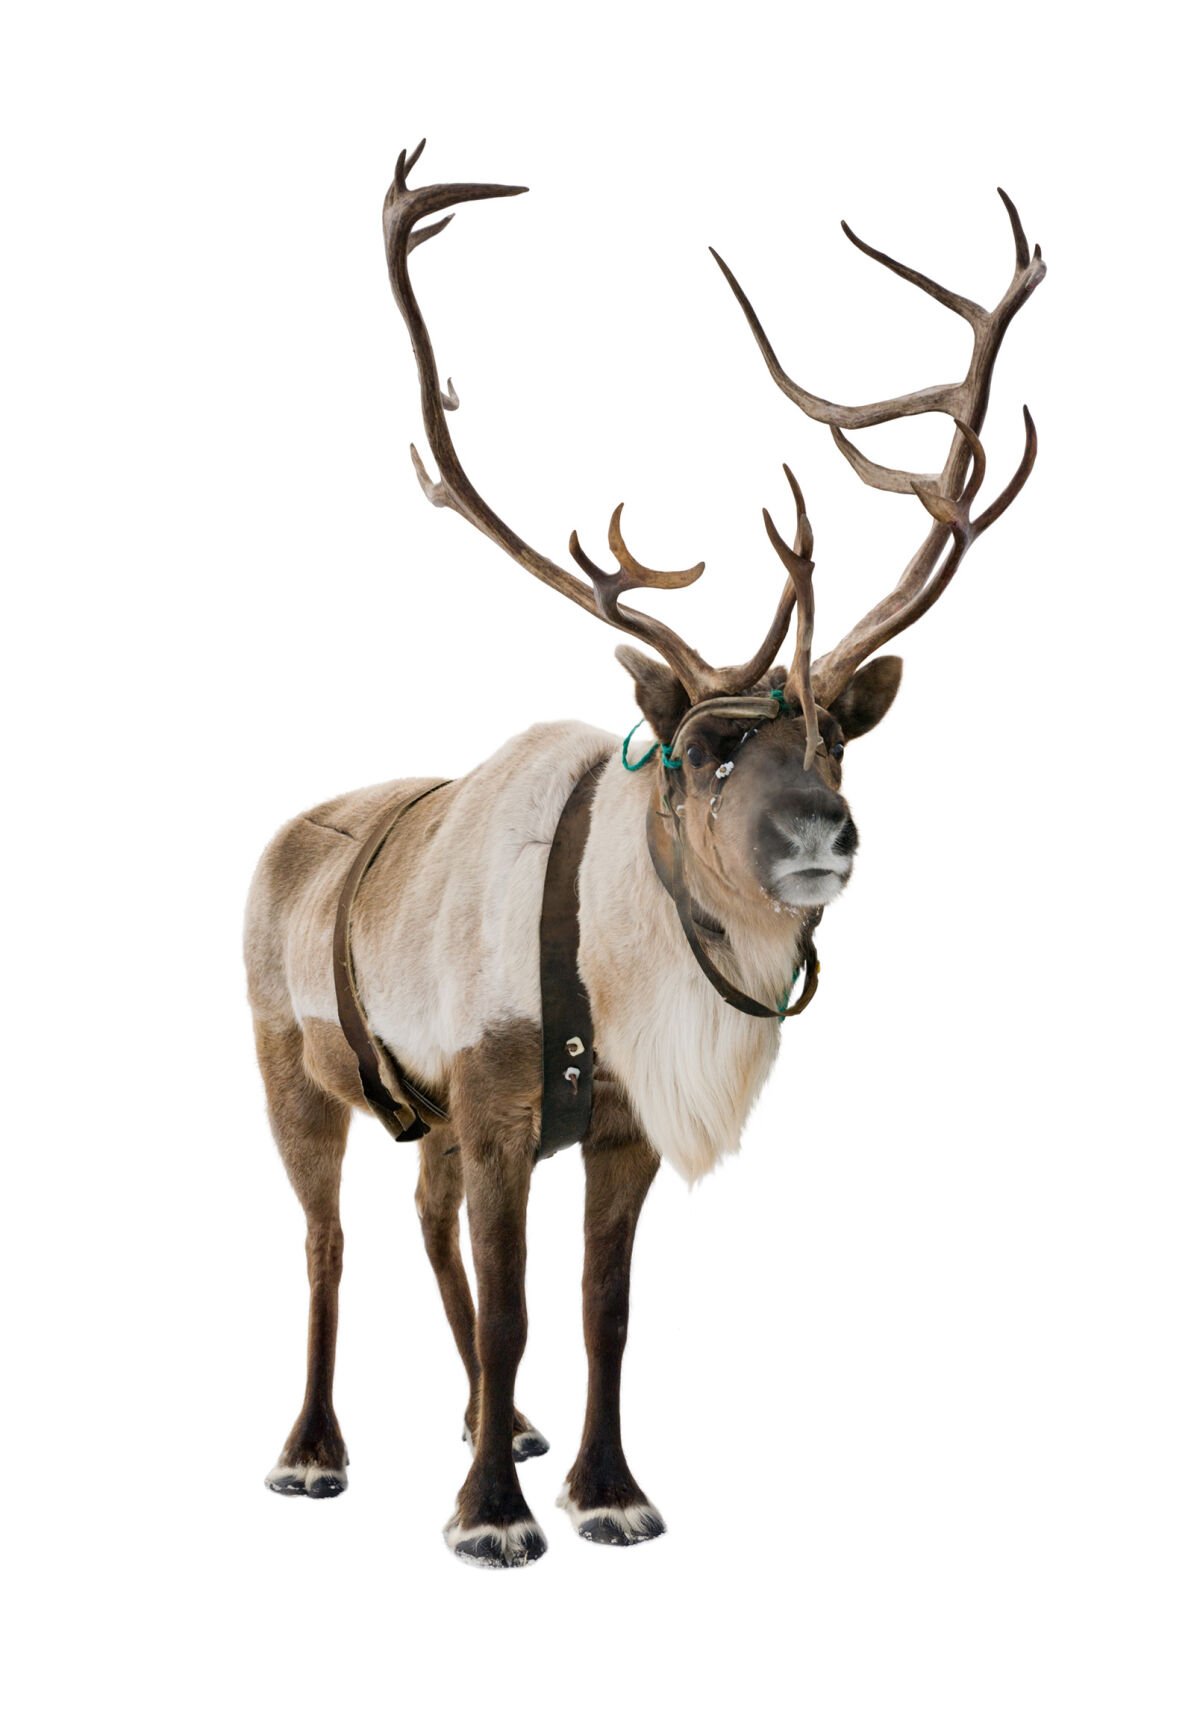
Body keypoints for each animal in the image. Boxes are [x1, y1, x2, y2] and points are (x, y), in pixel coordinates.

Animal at [244, 142, 1045, 1568]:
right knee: (328, 1240)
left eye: (836, 741)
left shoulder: (611, 1125)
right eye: (707, 751)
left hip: (426, 1109)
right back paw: (315, 1450)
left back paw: (495, 1422)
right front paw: (492, 1519)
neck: (623, 951)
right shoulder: (497, 1102)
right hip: (292, 1067)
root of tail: (287, 832)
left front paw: (602, 1487)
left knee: (423, 1224)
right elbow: (515, 1303)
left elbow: (600, 1309)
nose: (826, 832)